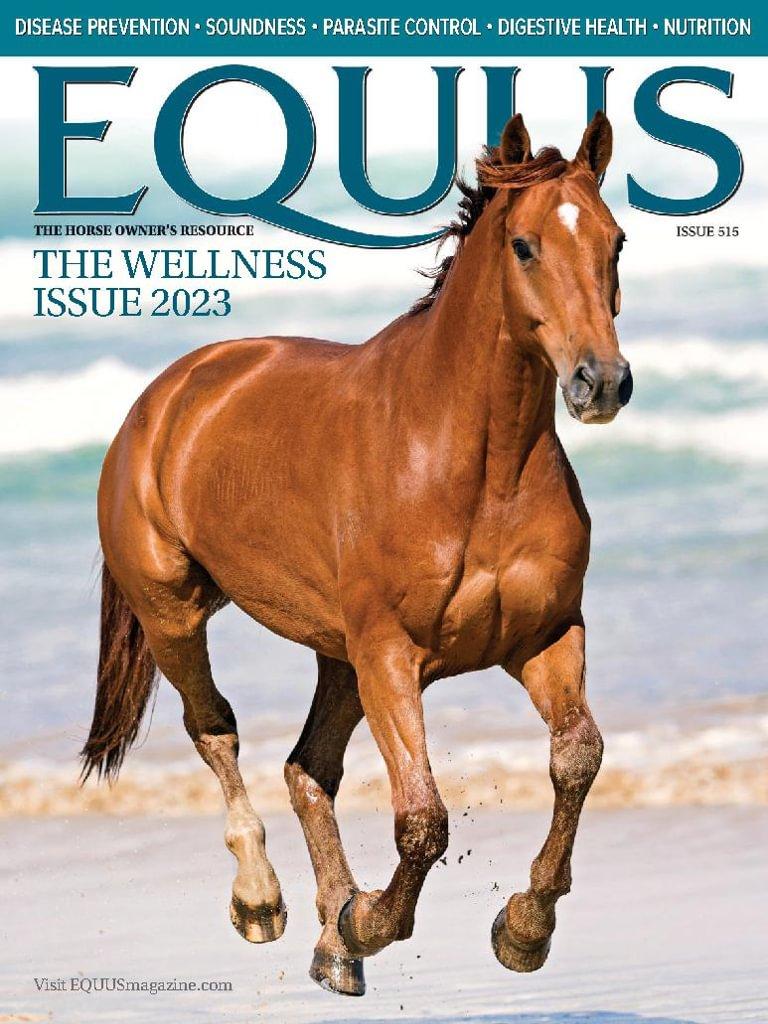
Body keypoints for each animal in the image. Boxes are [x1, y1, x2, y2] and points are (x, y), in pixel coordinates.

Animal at [82, 110, 632, 997]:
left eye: (614, 242)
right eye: (524, 245)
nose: (601, 382)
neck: (474, 465)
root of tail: (165, 396)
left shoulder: (545, 638)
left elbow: (578, 758)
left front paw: (522, 928)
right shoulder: (390, 657)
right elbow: (422, 820)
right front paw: (371, 920)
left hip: (334, 653)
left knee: (308, 771)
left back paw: (331, 940)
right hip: (176, 618)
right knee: (217, 731)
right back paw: (262, 901)